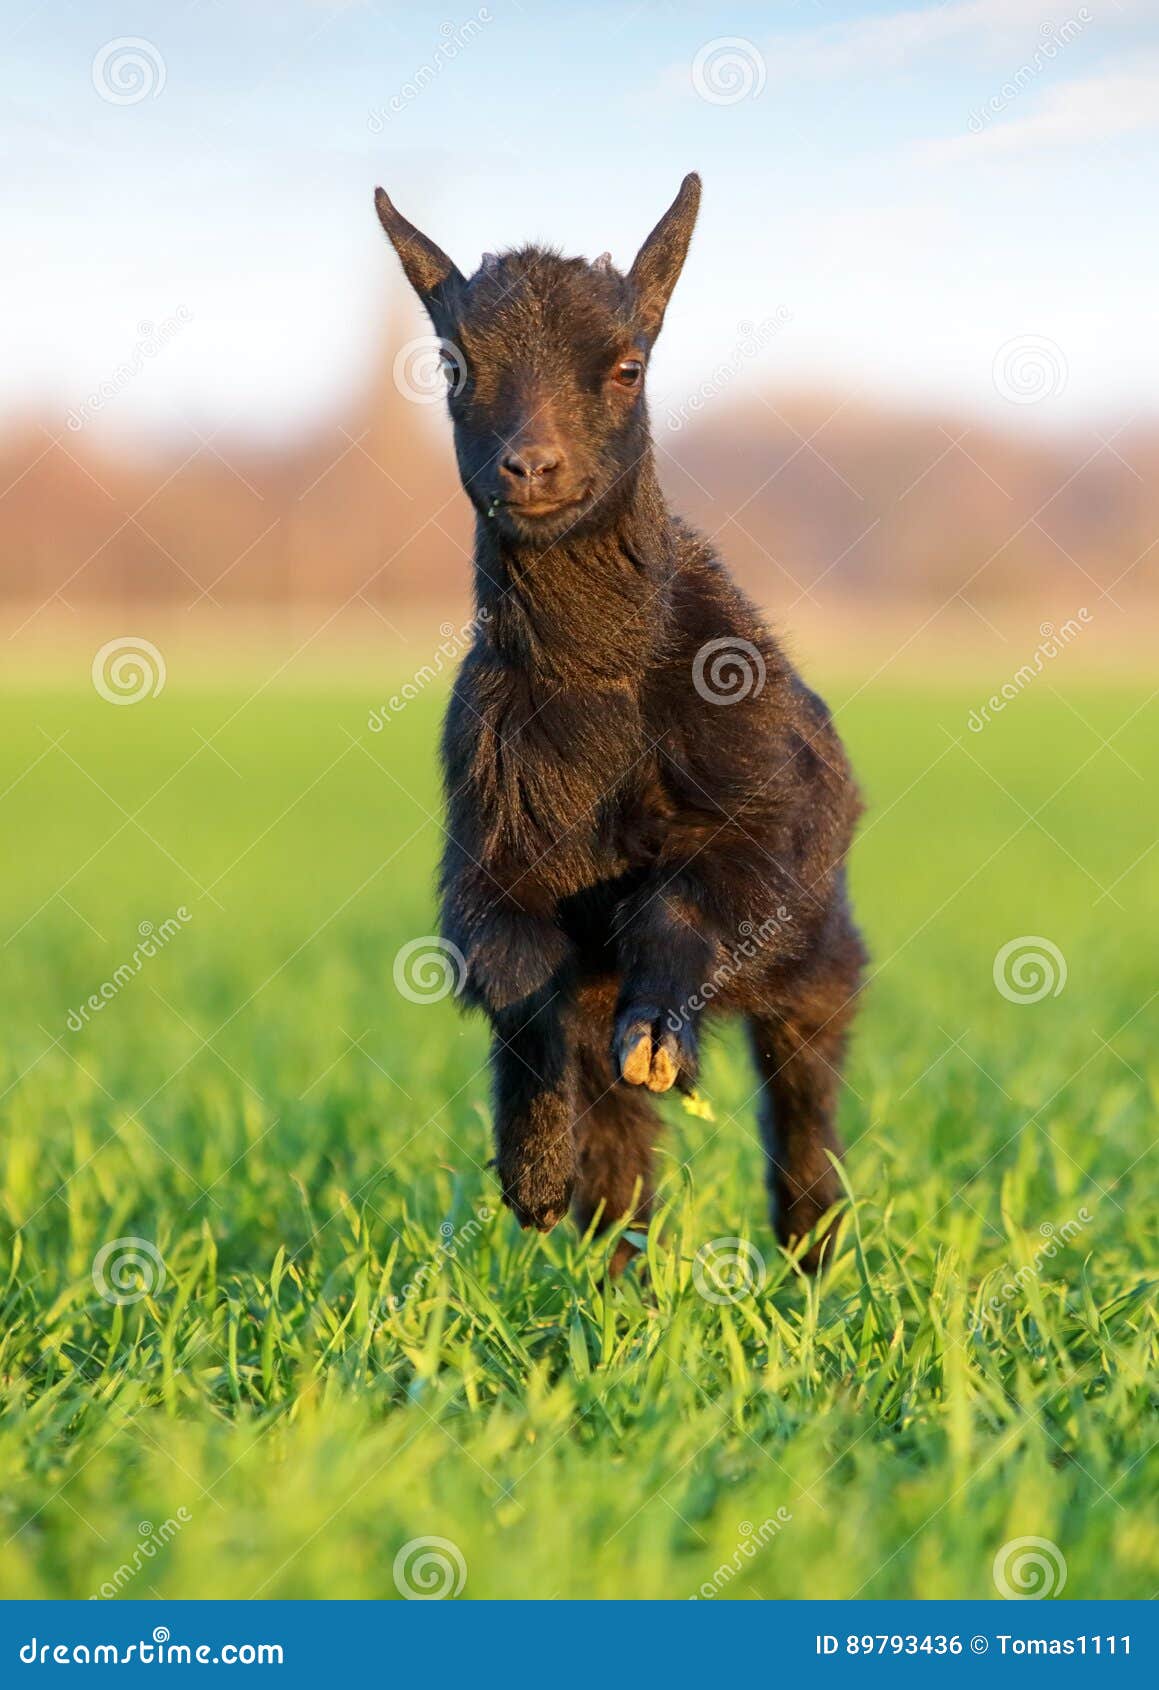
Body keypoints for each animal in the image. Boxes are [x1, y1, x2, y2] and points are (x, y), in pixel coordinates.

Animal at [375, 173, 866, 1273]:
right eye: (454, 363)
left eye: (629, 364)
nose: (531, 467)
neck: (600, 679)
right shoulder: (491, 851)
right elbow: (519, 983)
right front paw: (530, 1171)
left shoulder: (763, 827)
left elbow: (681, 909)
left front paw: (656, 1035)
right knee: (623, 1188)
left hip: (821, 964)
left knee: (803, 1123)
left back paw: (810, 1270)